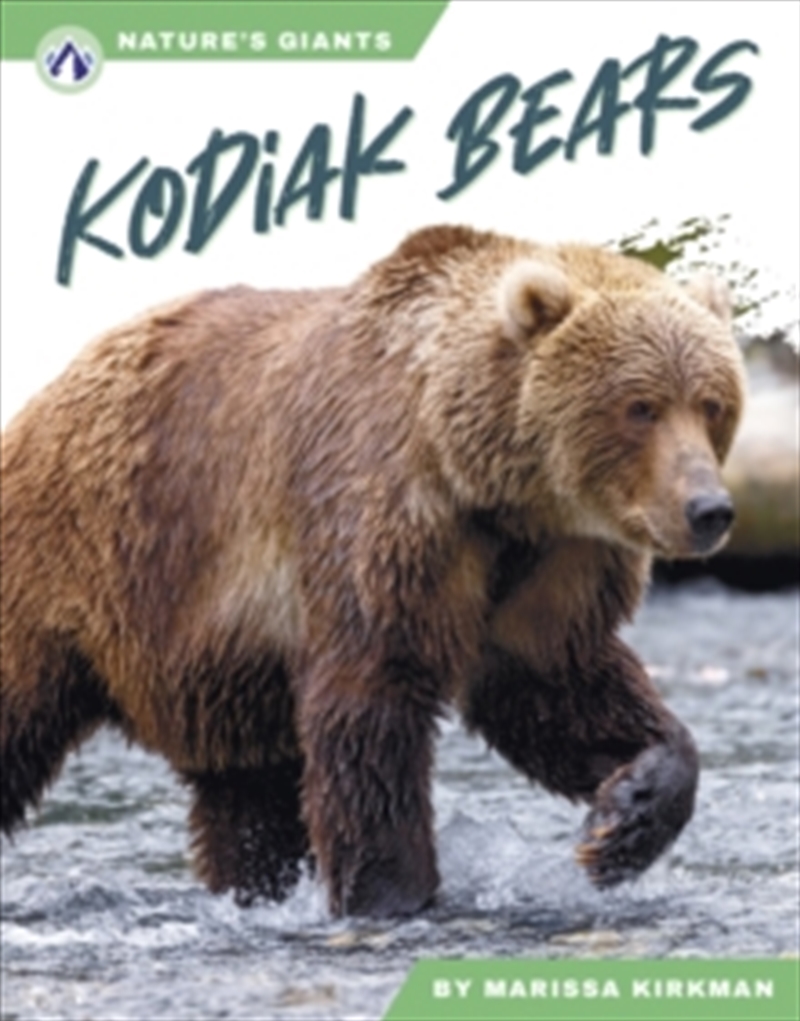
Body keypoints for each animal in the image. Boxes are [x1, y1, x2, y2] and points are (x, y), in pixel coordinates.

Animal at [0, 225, 746, 918]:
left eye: (710, 403)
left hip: (218, 680)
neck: (483, 480)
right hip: (76, 568)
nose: (708, 508)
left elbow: (557, 685)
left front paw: (623, 819)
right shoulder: (385, 522)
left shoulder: (552, 562)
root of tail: (41, 398)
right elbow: (370, 708)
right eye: (640, 407)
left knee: (248, 800)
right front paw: (392, 893)